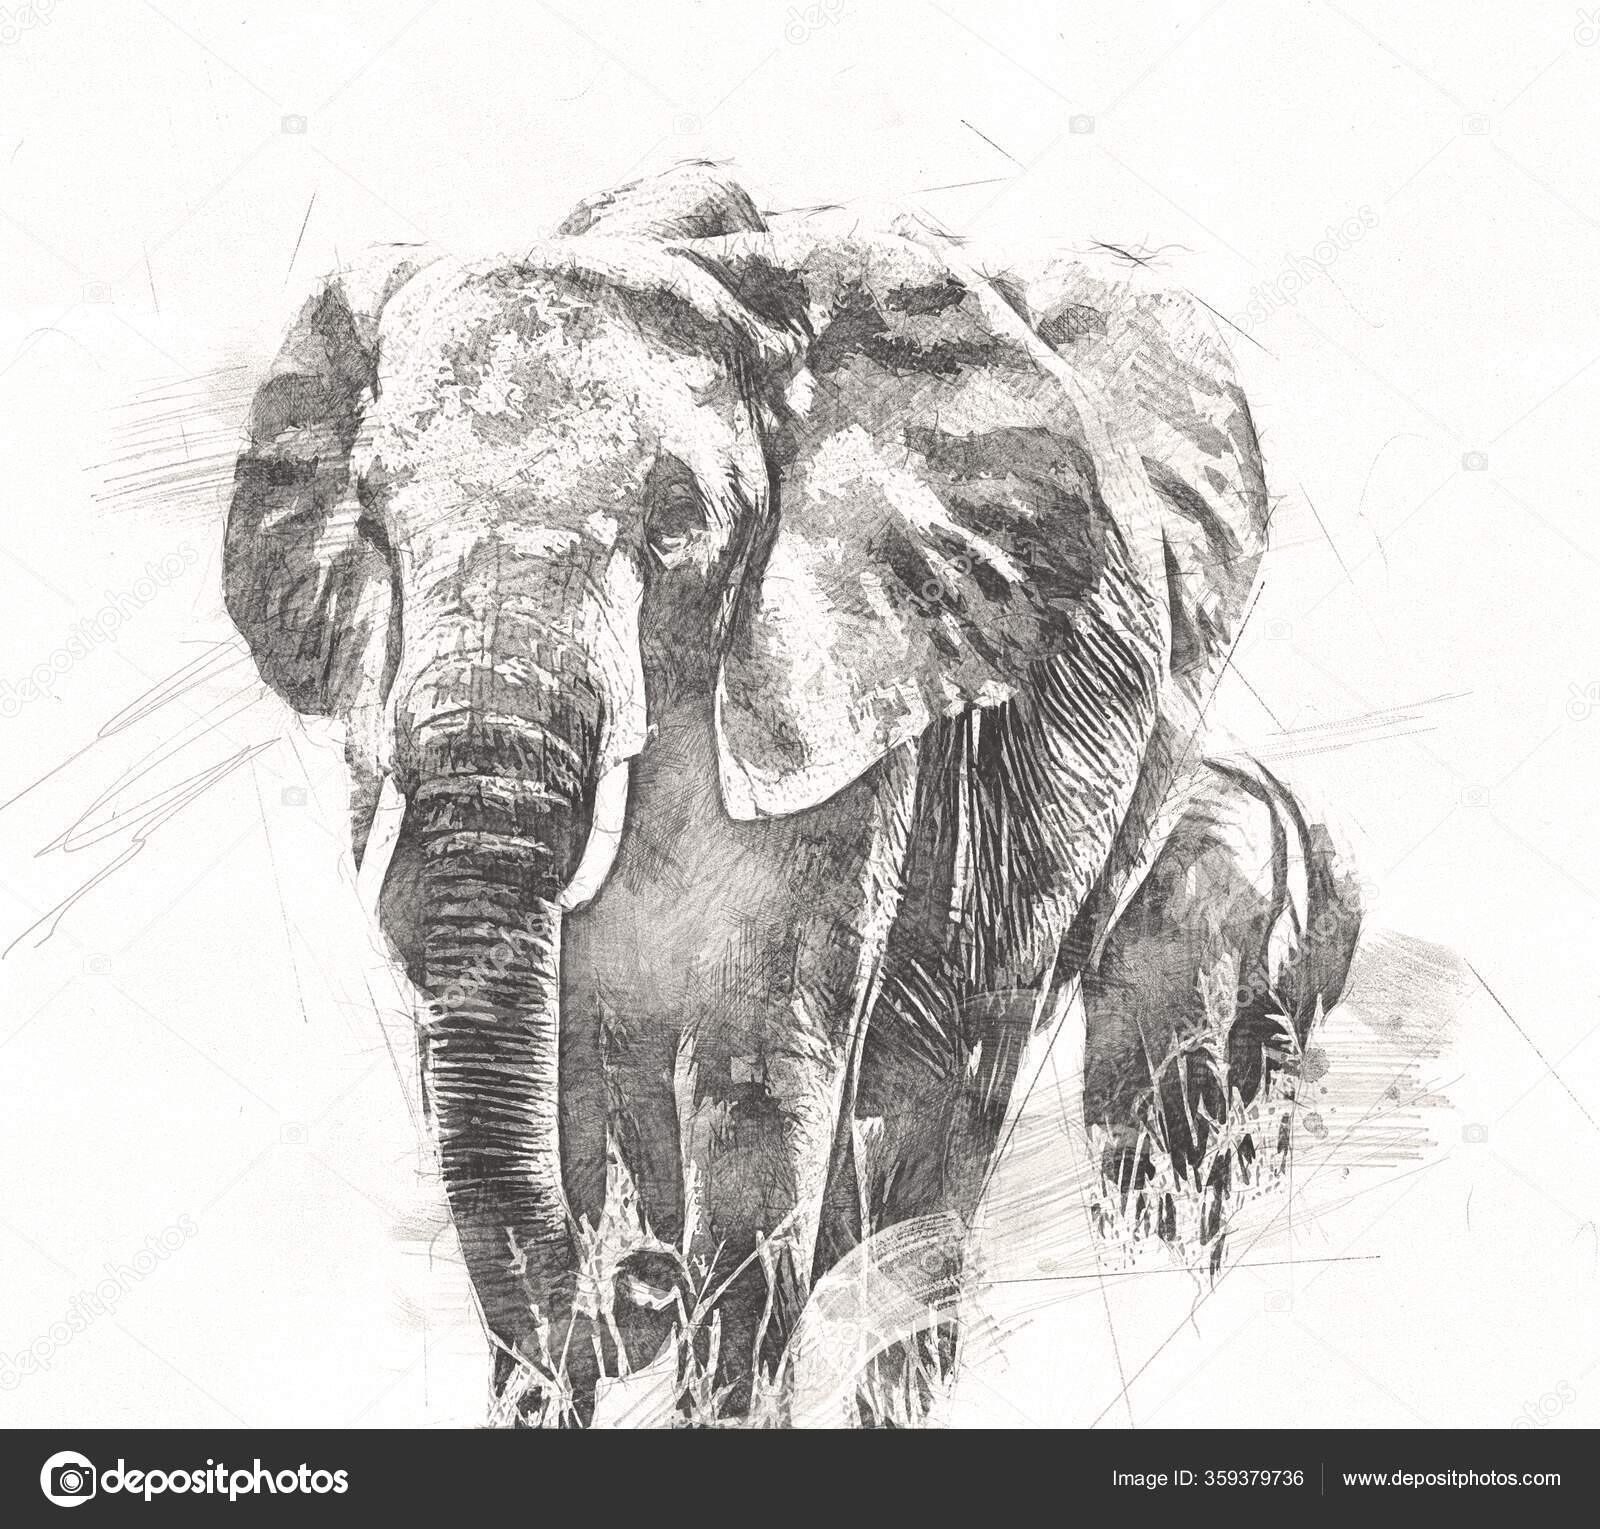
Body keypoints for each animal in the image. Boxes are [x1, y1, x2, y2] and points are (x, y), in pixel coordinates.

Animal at [223, 162, 1358, 1423]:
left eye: (679, 521)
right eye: (374, 519)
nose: (635, 1285)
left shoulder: (847, 684)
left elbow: (758, 1063)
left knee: (957, 1089)